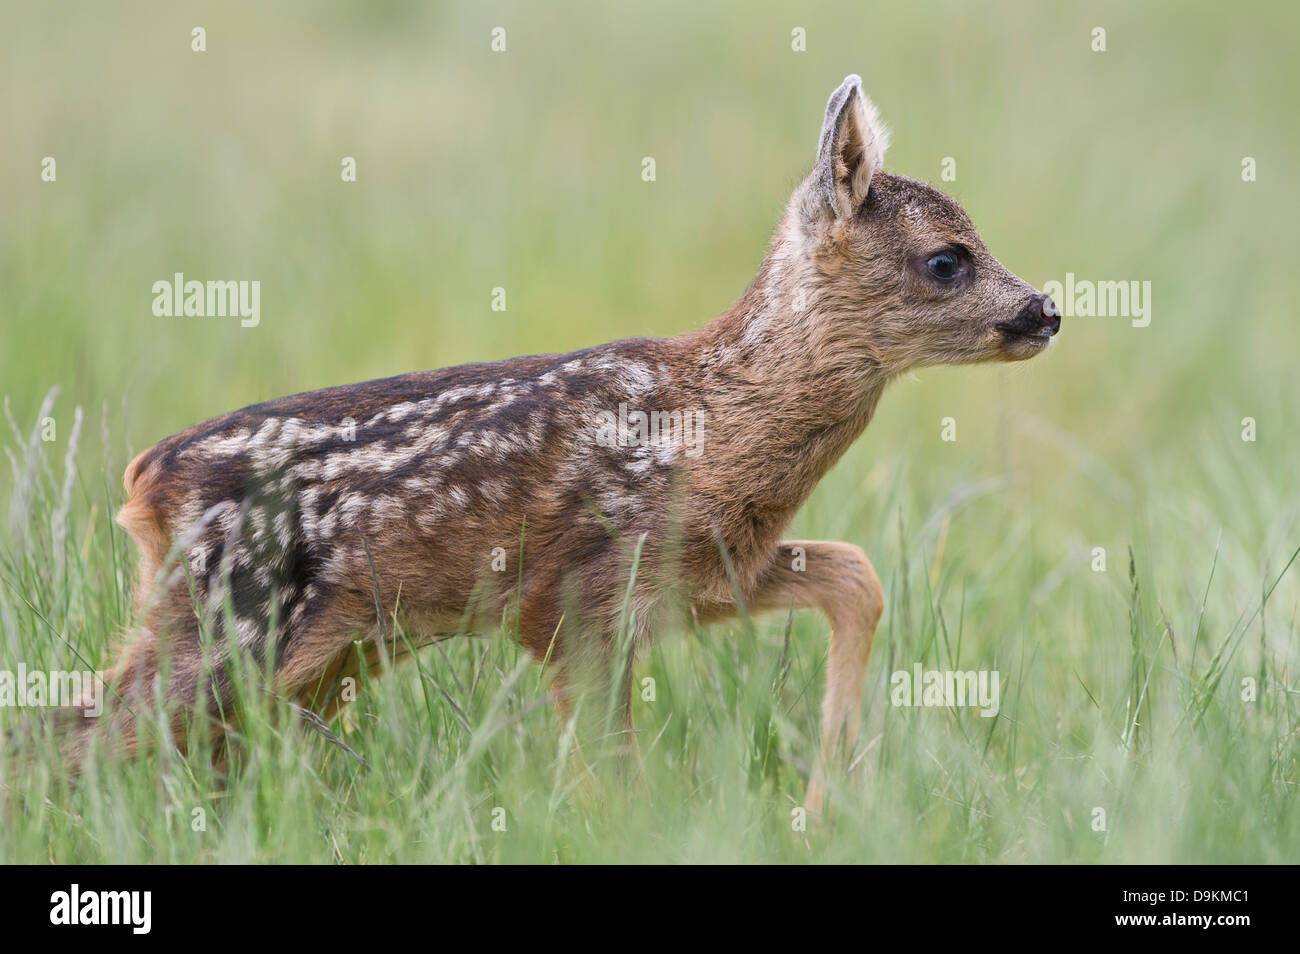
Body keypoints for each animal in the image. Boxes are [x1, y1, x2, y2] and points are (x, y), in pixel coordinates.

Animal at [61, 75, 1059, 811]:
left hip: (321, 650)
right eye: (947, 259)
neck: (713, 421)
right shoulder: (577, 590)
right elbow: (610, 775)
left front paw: (823, 805)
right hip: (236, 622)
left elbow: (857, 574)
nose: (1045, 309)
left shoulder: (698, 573)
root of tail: (144, 481)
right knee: (74, 737)